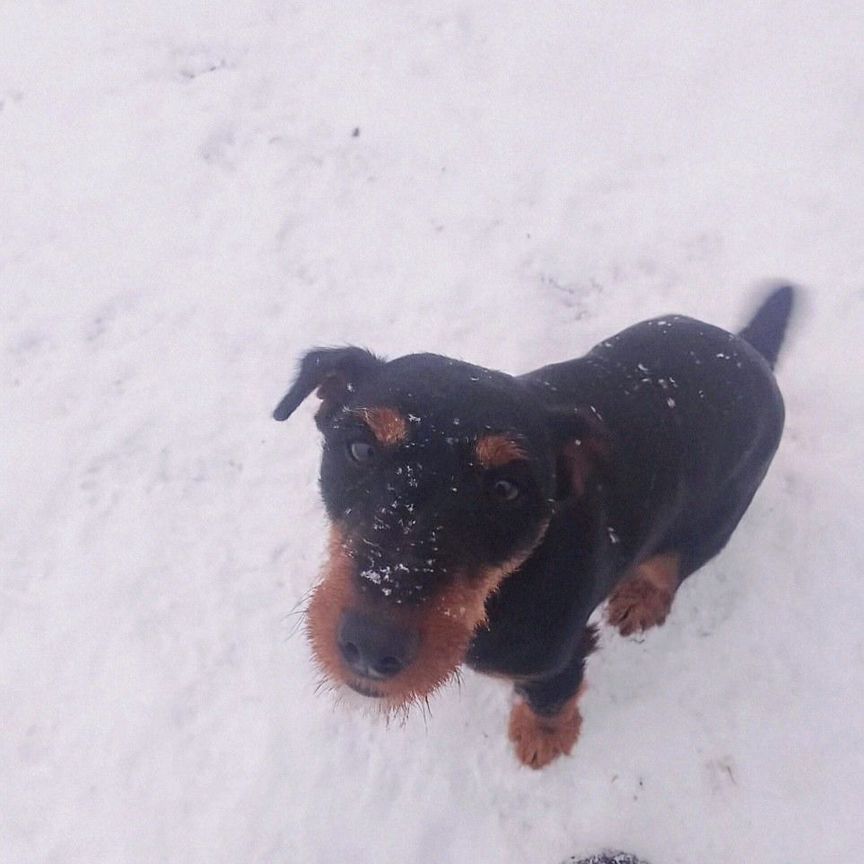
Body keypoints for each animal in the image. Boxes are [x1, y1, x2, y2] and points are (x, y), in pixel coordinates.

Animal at [274, 286, 792, 768]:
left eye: (506, 489)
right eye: (361, 449)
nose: (369, 647)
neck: (506, 585)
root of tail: (750, 349)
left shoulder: (554, 661)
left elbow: (550, 700)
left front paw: (544, 739)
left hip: (713, 520)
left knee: (669, 568)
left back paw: (641, 598)